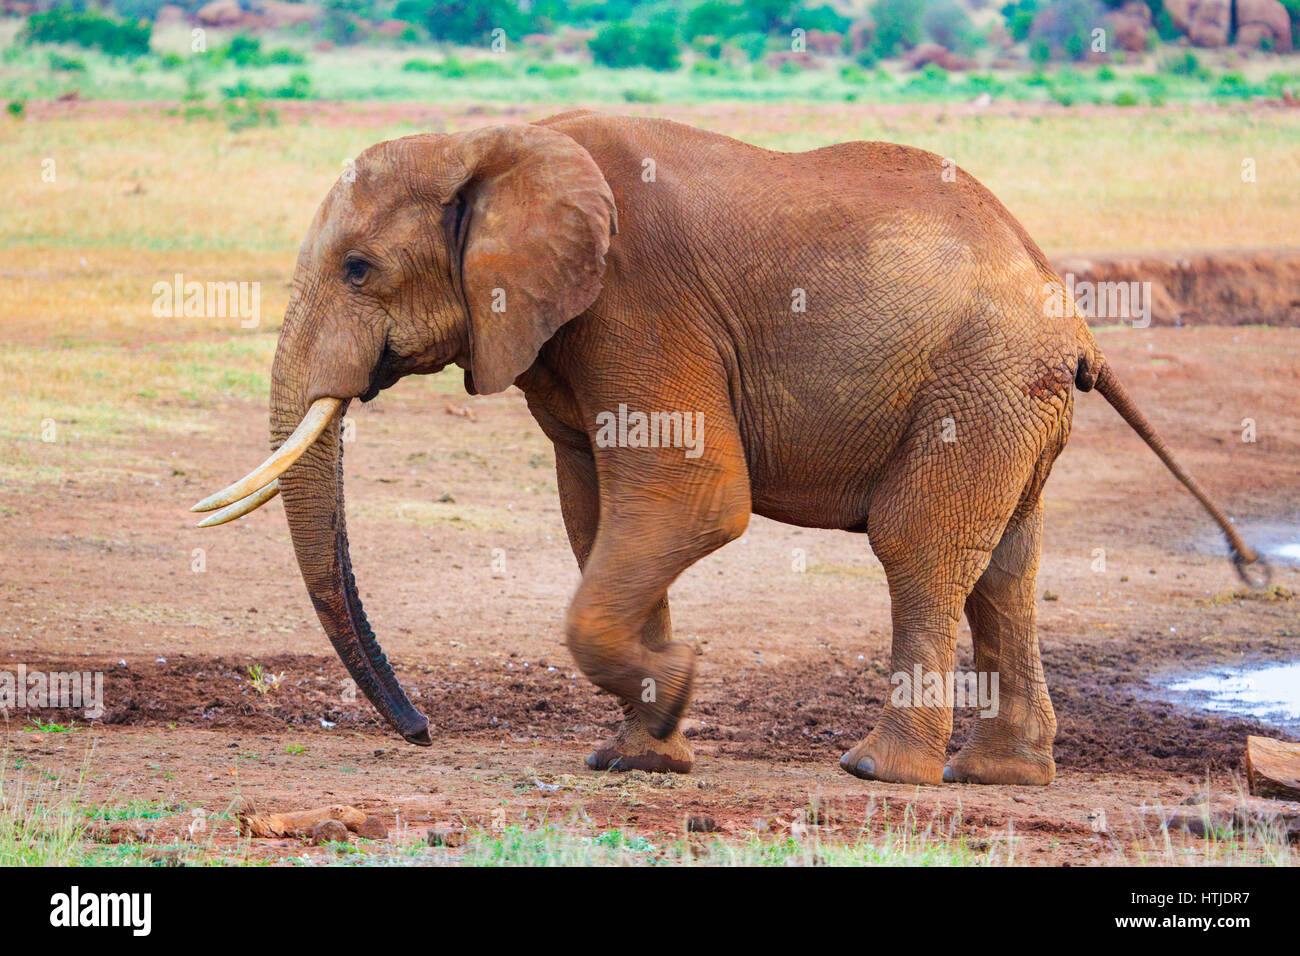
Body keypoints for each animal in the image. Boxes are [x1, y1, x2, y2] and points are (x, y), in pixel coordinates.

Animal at [192, 110, 1264, 786]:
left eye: (358, 268)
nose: (420, 736)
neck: (491, 140)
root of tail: (1071, 313)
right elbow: (599, 513)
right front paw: (642, 751)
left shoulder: (636, 301)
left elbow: (691, 497)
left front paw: (675, 692)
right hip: (1010, 401)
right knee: (1005, 567)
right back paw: (1001, 775)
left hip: (980, 385)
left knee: (920, 549)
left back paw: (880, 770)